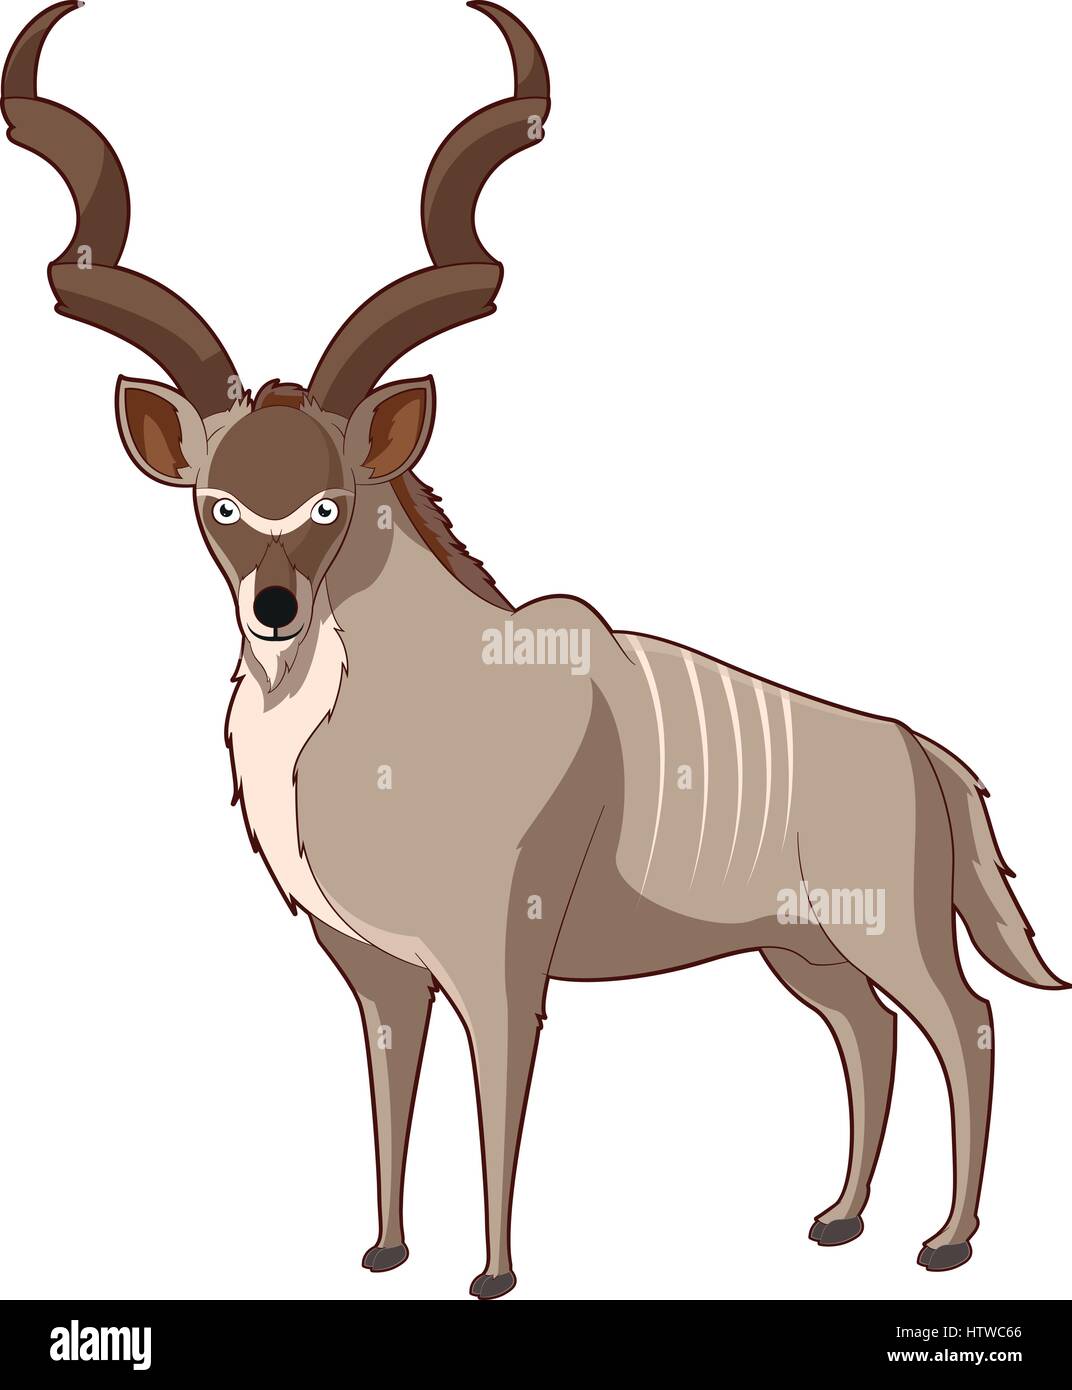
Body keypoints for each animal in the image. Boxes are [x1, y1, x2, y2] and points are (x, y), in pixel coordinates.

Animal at [4, 0, 1066, 1301]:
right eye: (217, 501)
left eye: (331, 500)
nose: (275, 610)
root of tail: (922, 753)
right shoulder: (378, 973)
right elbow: (390, 1086)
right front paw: (382, 1250)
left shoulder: (500, 957)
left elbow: (497, 1089)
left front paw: (493, 1274)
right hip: (800, 950)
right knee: (866, 1031)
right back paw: (836, 1220)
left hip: (888, 929)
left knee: (963, 1021)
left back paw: (946, 1240)